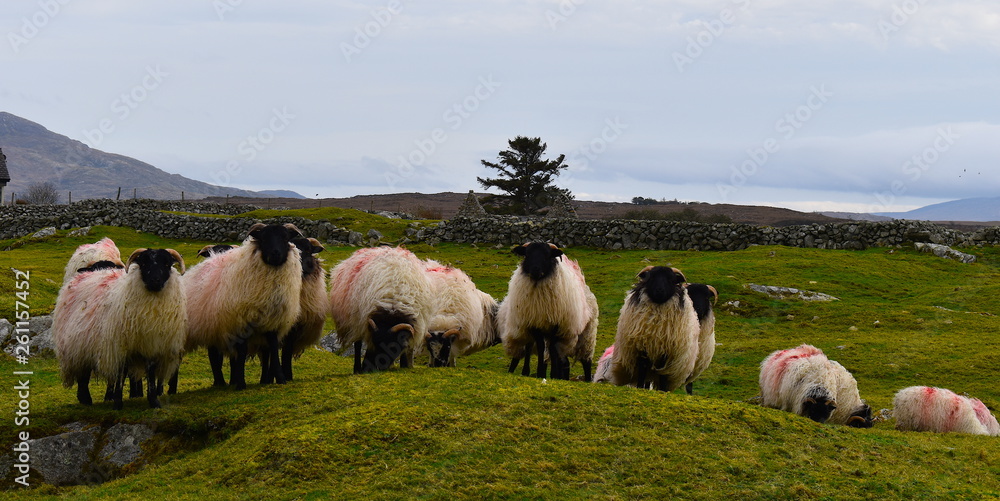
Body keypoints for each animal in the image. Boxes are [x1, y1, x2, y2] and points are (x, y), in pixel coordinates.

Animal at [52, 248, 187, 409]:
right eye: (143, 263)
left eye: (167, 264)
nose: (155, 281)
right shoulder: (120, 345)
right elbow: (120, 374)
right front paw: (117, 401)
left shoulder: (152, 343)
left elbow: (150, 373)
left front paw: (153, 400)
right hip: (78, 345)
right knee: (83, 375)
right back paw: (86, 398)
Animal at [183, 223, 303, 390]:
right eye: (263, 238)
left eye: (285, 238)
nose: (275, 253)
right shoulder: (240, 321)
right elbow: (242, 351)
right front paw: (241, 383)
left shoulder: (273, 321)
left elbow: (272, 348)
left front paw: (280, 378)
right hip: (212, 325)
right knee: (214, 355)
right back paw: (220, 382)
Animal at [499, 242, 598, 381]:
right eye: (527, 254)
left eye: (547, 255)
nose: (535, 270)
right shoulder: (534, 323)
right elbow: (541, 347)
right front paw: (540, 373)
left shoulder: (556, 324)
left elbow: (551, 348)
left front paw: (553, 374)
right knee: (563, 359)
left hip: (587, 332)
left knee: (586, 360)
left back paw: (587, 379)